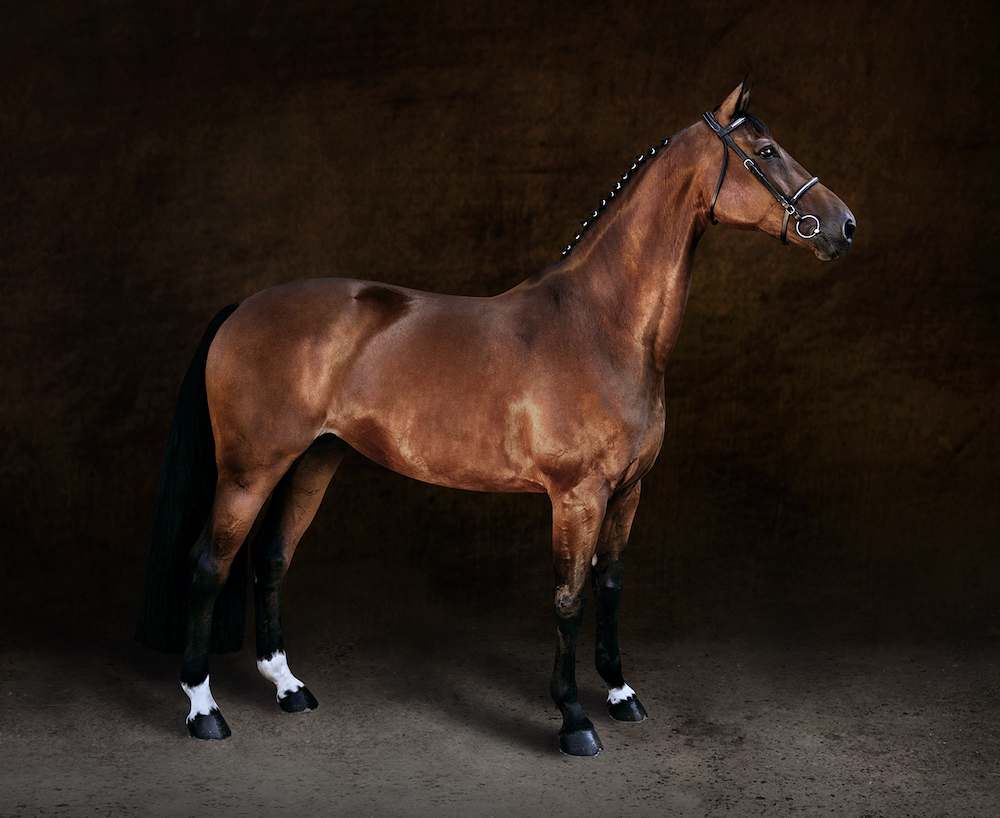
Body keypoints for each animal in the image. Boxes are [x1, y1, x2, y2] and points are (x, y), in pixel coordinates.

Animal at [136, 80, 855, 756]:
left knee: (272, 558)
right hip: (249, 469)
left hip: (313, 461)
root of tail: (243, 307)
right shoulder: (577, 498)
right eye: (767, 151)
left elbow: (611, 586)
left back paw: (288, 688)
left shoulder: (628, 493)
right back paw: (203, 709)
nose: (844, 225)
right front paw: (574, 720)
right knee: (208, 565)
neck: (601, 327)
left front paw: (621, 694)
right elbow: (568, 600)